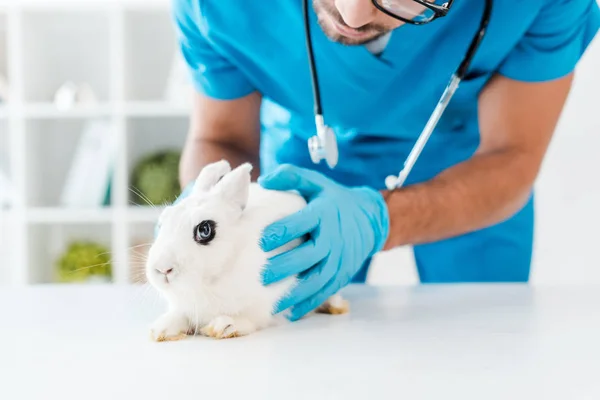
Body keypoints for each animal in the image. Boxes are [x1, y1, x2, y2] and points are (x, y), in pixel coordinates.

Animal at [145, 159, 350, 340]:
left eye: (205, 230)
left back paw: (336, 307)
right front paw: (161, 329)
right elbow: (179, 316)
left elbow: (251, 318)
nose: (162, 269)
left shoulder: (269, 300)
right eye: (162, 223)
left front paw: (224, 326)